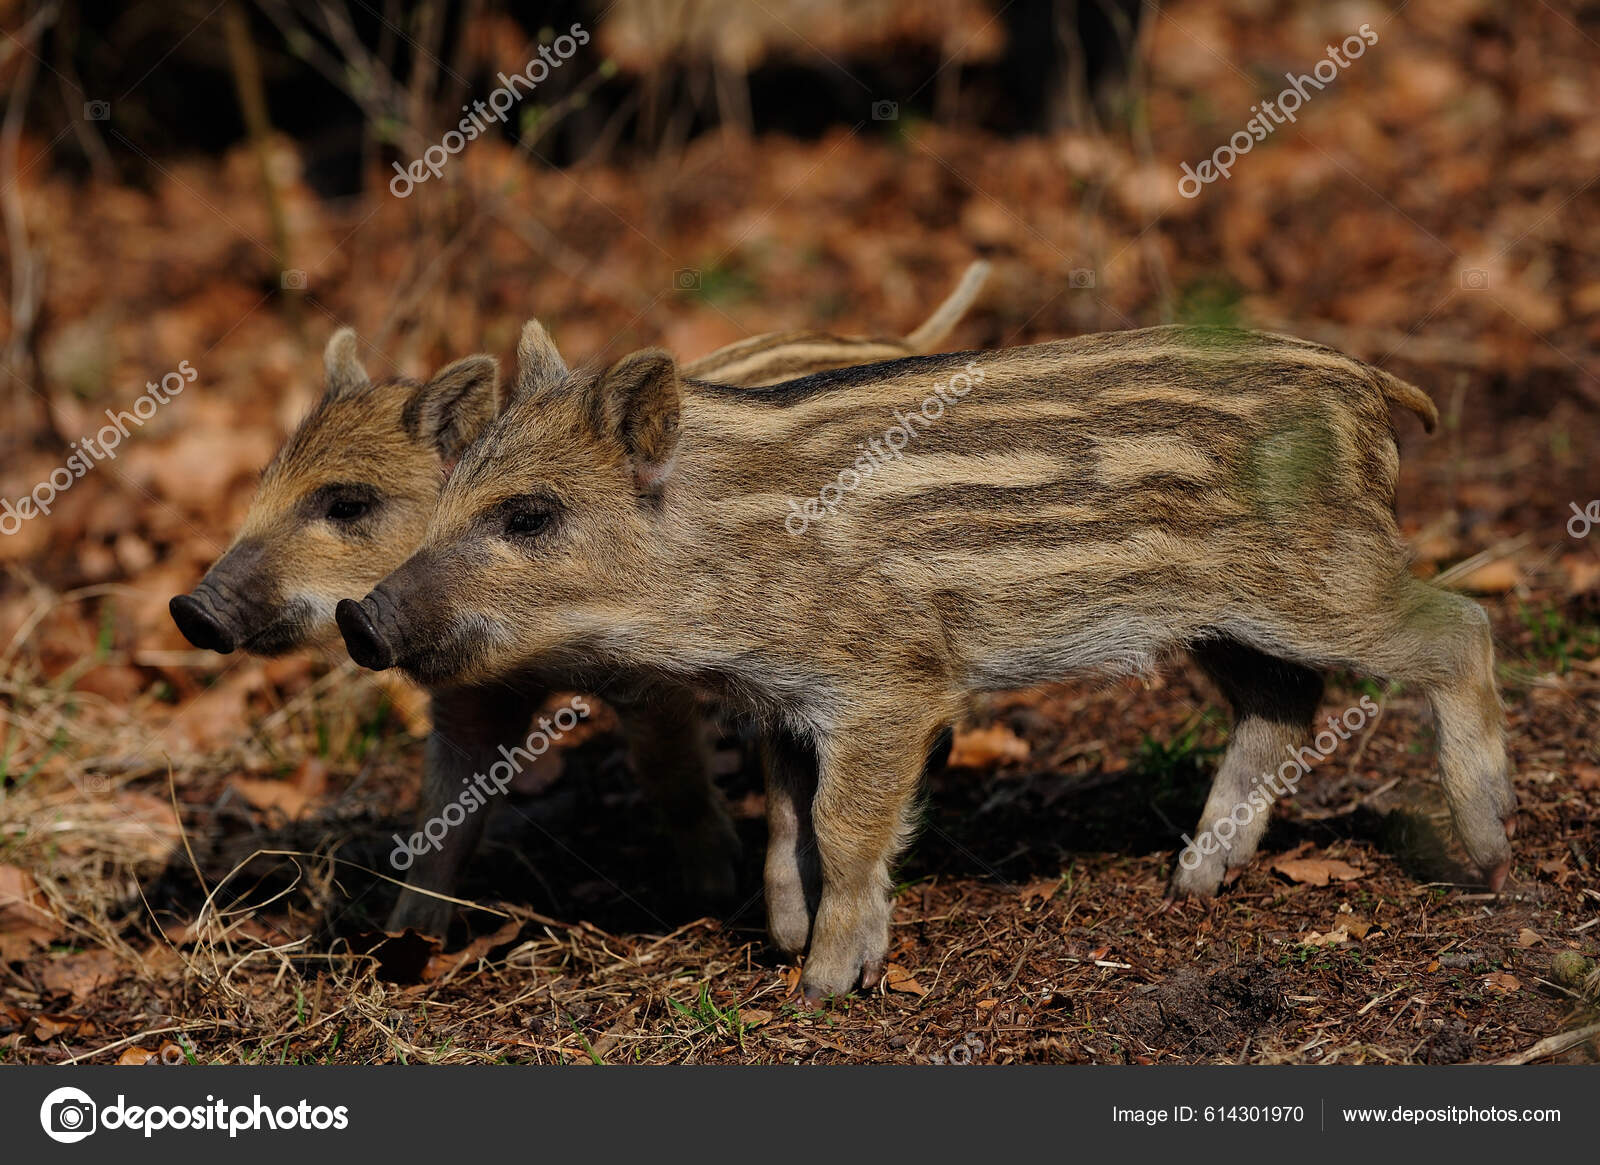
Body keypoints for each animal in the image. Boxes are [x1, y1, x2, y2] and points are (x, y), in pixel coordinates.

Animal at [169, 261, 991, 935]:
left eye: (347, 503)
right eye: (265, 481)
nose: (188, 609)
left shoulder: (650, 677)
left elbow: (669, 776)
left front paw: (709, 889)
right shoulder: (469, 702)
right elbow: (442, 818)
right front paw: (404, 943)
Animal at [337, 322, 1516, 1000]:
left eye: (531, 515)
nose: (358, 614)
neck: (735, 550)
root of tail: (1369, 385)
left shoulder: (890, 682)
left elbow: (847, 827)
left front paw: (822, 985)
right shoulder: (783, 703)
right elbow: (788, 822)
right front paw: (784, 937)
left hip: (1317, 580)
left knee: (1457, 625)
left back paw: (1491, 850)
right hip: (1228, 617)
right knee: (1284, 705)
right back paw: (1190, 882)